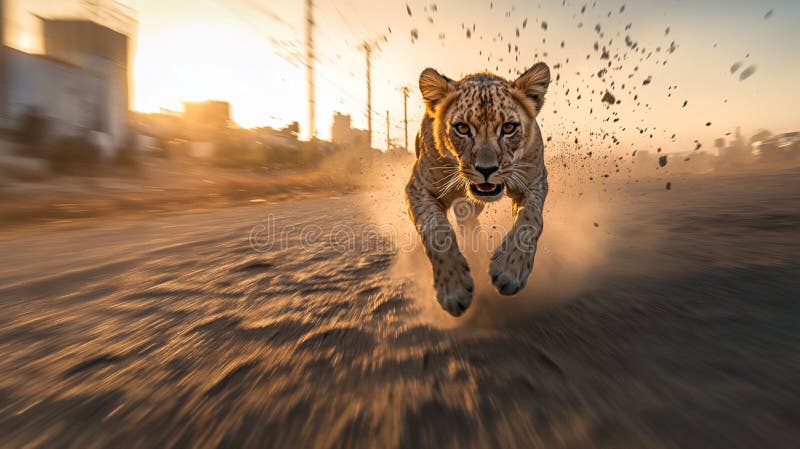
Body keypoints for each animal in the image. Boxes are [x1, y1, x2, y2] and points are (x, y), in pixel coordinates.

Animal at [405, 62, 551, 316]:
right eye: (462, 128)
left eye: (509, 127)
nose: (486, 169)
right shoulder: (418, 188)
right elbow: (436, 231)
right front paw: (453, 288)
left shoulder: (535, 181)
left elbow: (530, 221)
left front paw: (510, 270)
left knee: (468, 217)